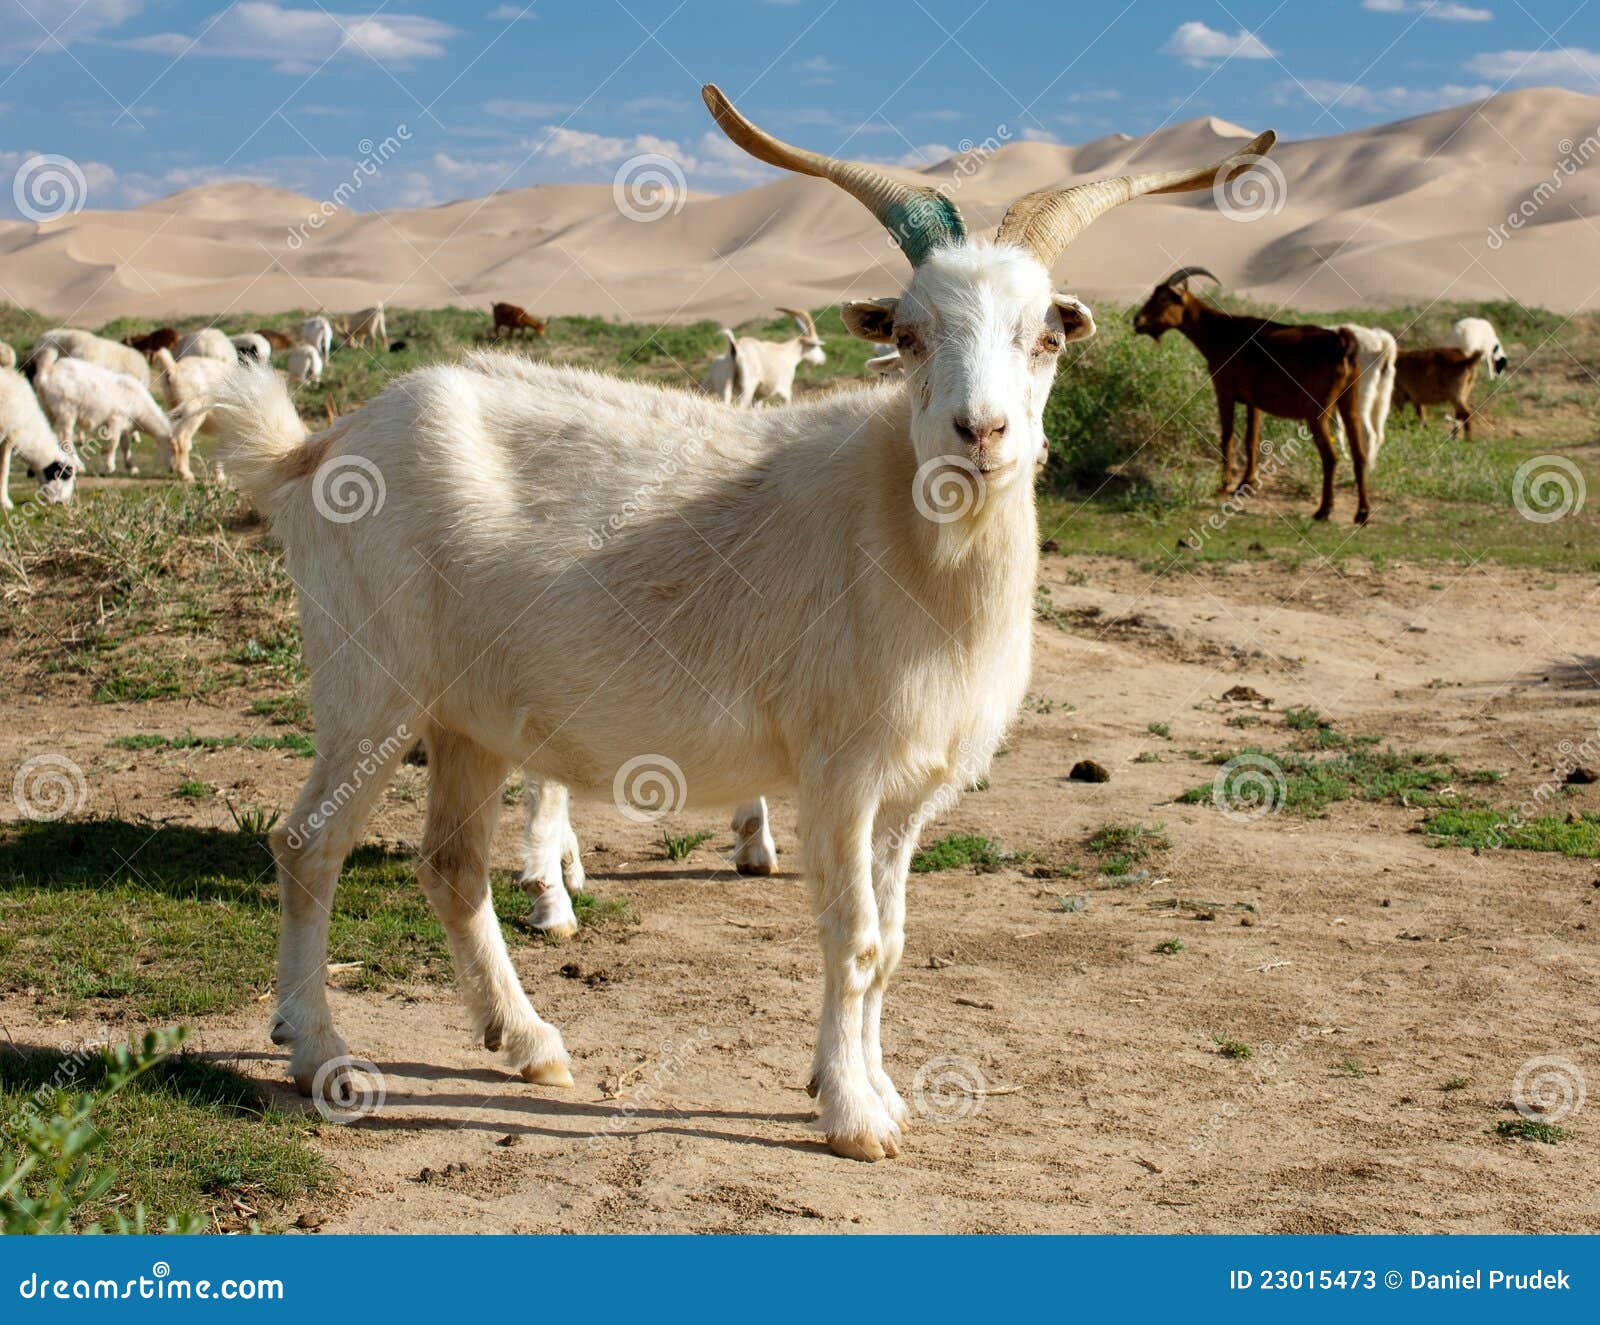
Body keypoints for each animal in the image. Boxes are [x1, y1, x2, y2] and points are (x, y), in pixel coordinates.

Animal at [213, 81, 1269, 1162]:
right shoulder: (839, 768)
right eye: (913, 334)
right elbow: (854, 939)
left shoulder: (909, 790)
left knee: (452, 866)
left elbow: (893, 943)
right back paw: (321, 1054)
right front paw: (851, 1115)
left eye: (1046, 337)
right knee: (306, 847)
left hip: (470, 719)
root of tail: (319, 445)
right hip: (369, 685)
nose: (979, 433)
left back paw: (530, 1041)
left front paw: (876, 1089)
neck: (903, 531)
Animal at [1133, 268, 1371, 523]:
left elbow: (1227, 437)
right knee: (1360, 454)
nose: (1137, 322)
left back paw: (1324, 510)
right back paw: (1362, 513)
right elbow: (1251, 439)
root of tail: (1342, 343)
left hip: (1317, 411)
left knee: (1330, 456)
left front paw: (1225, 484)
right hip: (1349, 403)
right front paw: (1246, 483)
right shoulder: (1253, 402)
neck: (1219, 332)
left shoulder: (1224, 392)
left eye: (1164, 298)